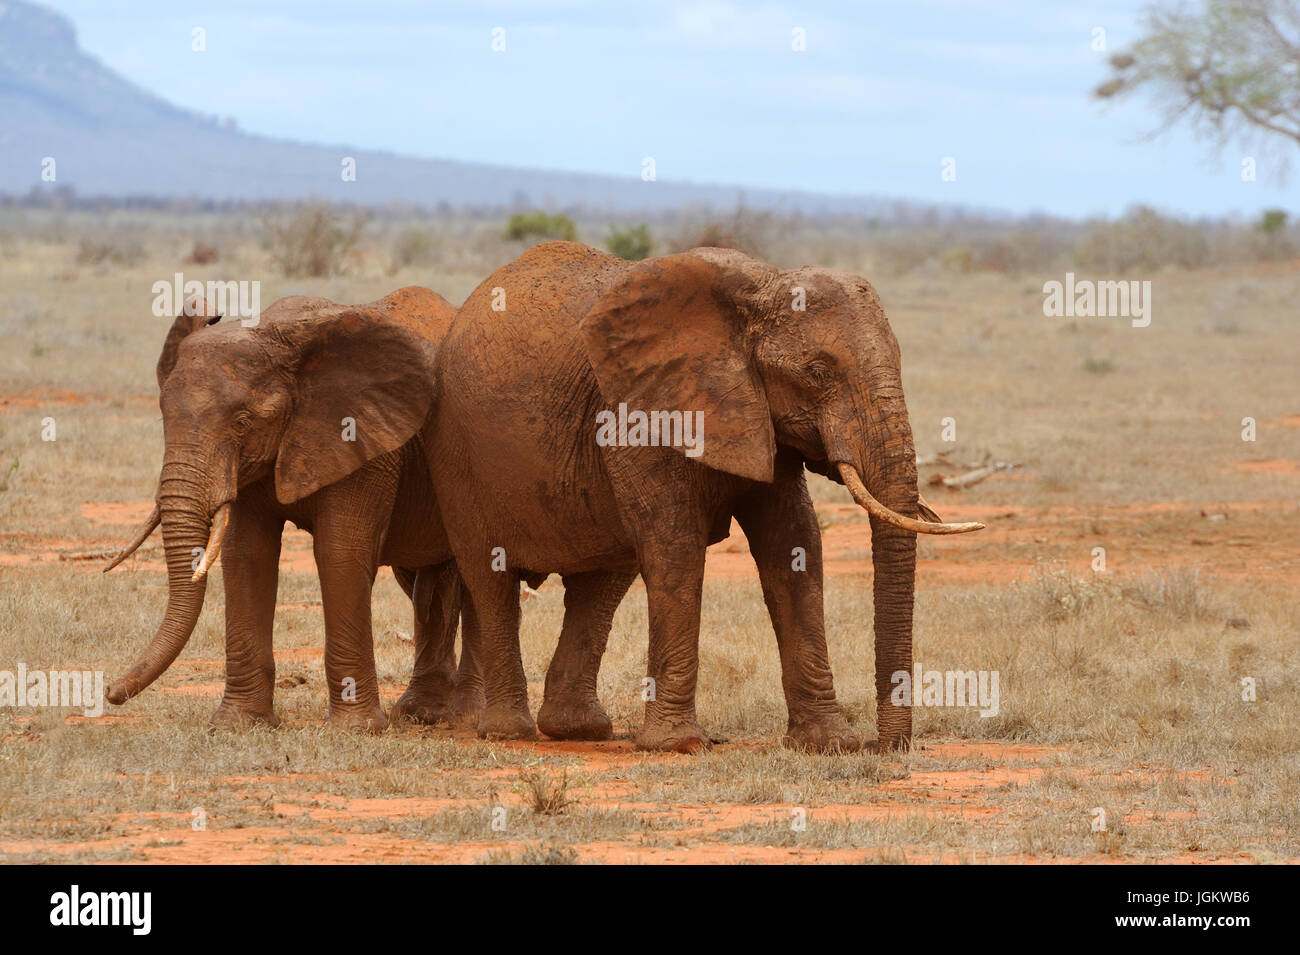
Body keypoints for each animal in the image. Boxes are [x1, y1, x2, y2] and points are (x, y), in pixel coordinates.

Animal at [425, 241, 982, 753]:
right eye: (817, 372)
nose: (887, 745)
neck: (761, 289)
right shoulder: (638, 413)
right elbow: (675, 546)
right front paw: (678, 745)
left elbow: (795, 544)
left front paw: (829, 743)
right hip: (456, 456)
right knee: (492, 577)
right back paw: (509, 732)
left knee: (600, 583)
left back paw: (578, 731)